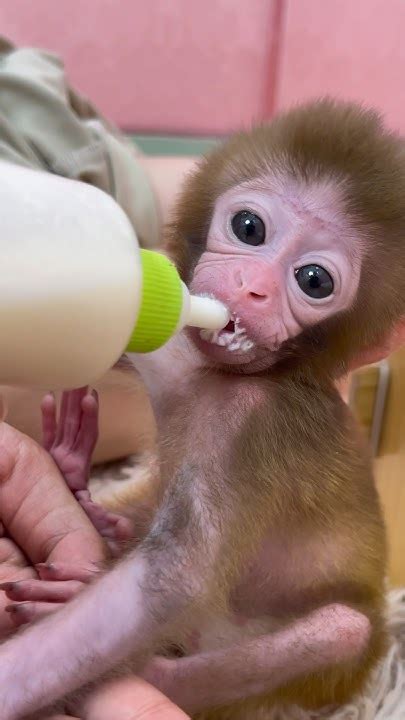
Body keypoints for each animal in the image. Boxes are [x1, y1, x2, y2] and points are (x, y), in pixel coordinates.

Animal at [1, 96, 405, 720]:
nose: (253, 285)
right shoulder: (164, 326)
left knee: (342, 630)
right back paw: (83, 486)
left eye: (314, 280)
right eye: (249, 228)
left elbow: (173, 582)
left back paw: (157, 669)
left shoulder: (254, 421)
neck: (210, 377)